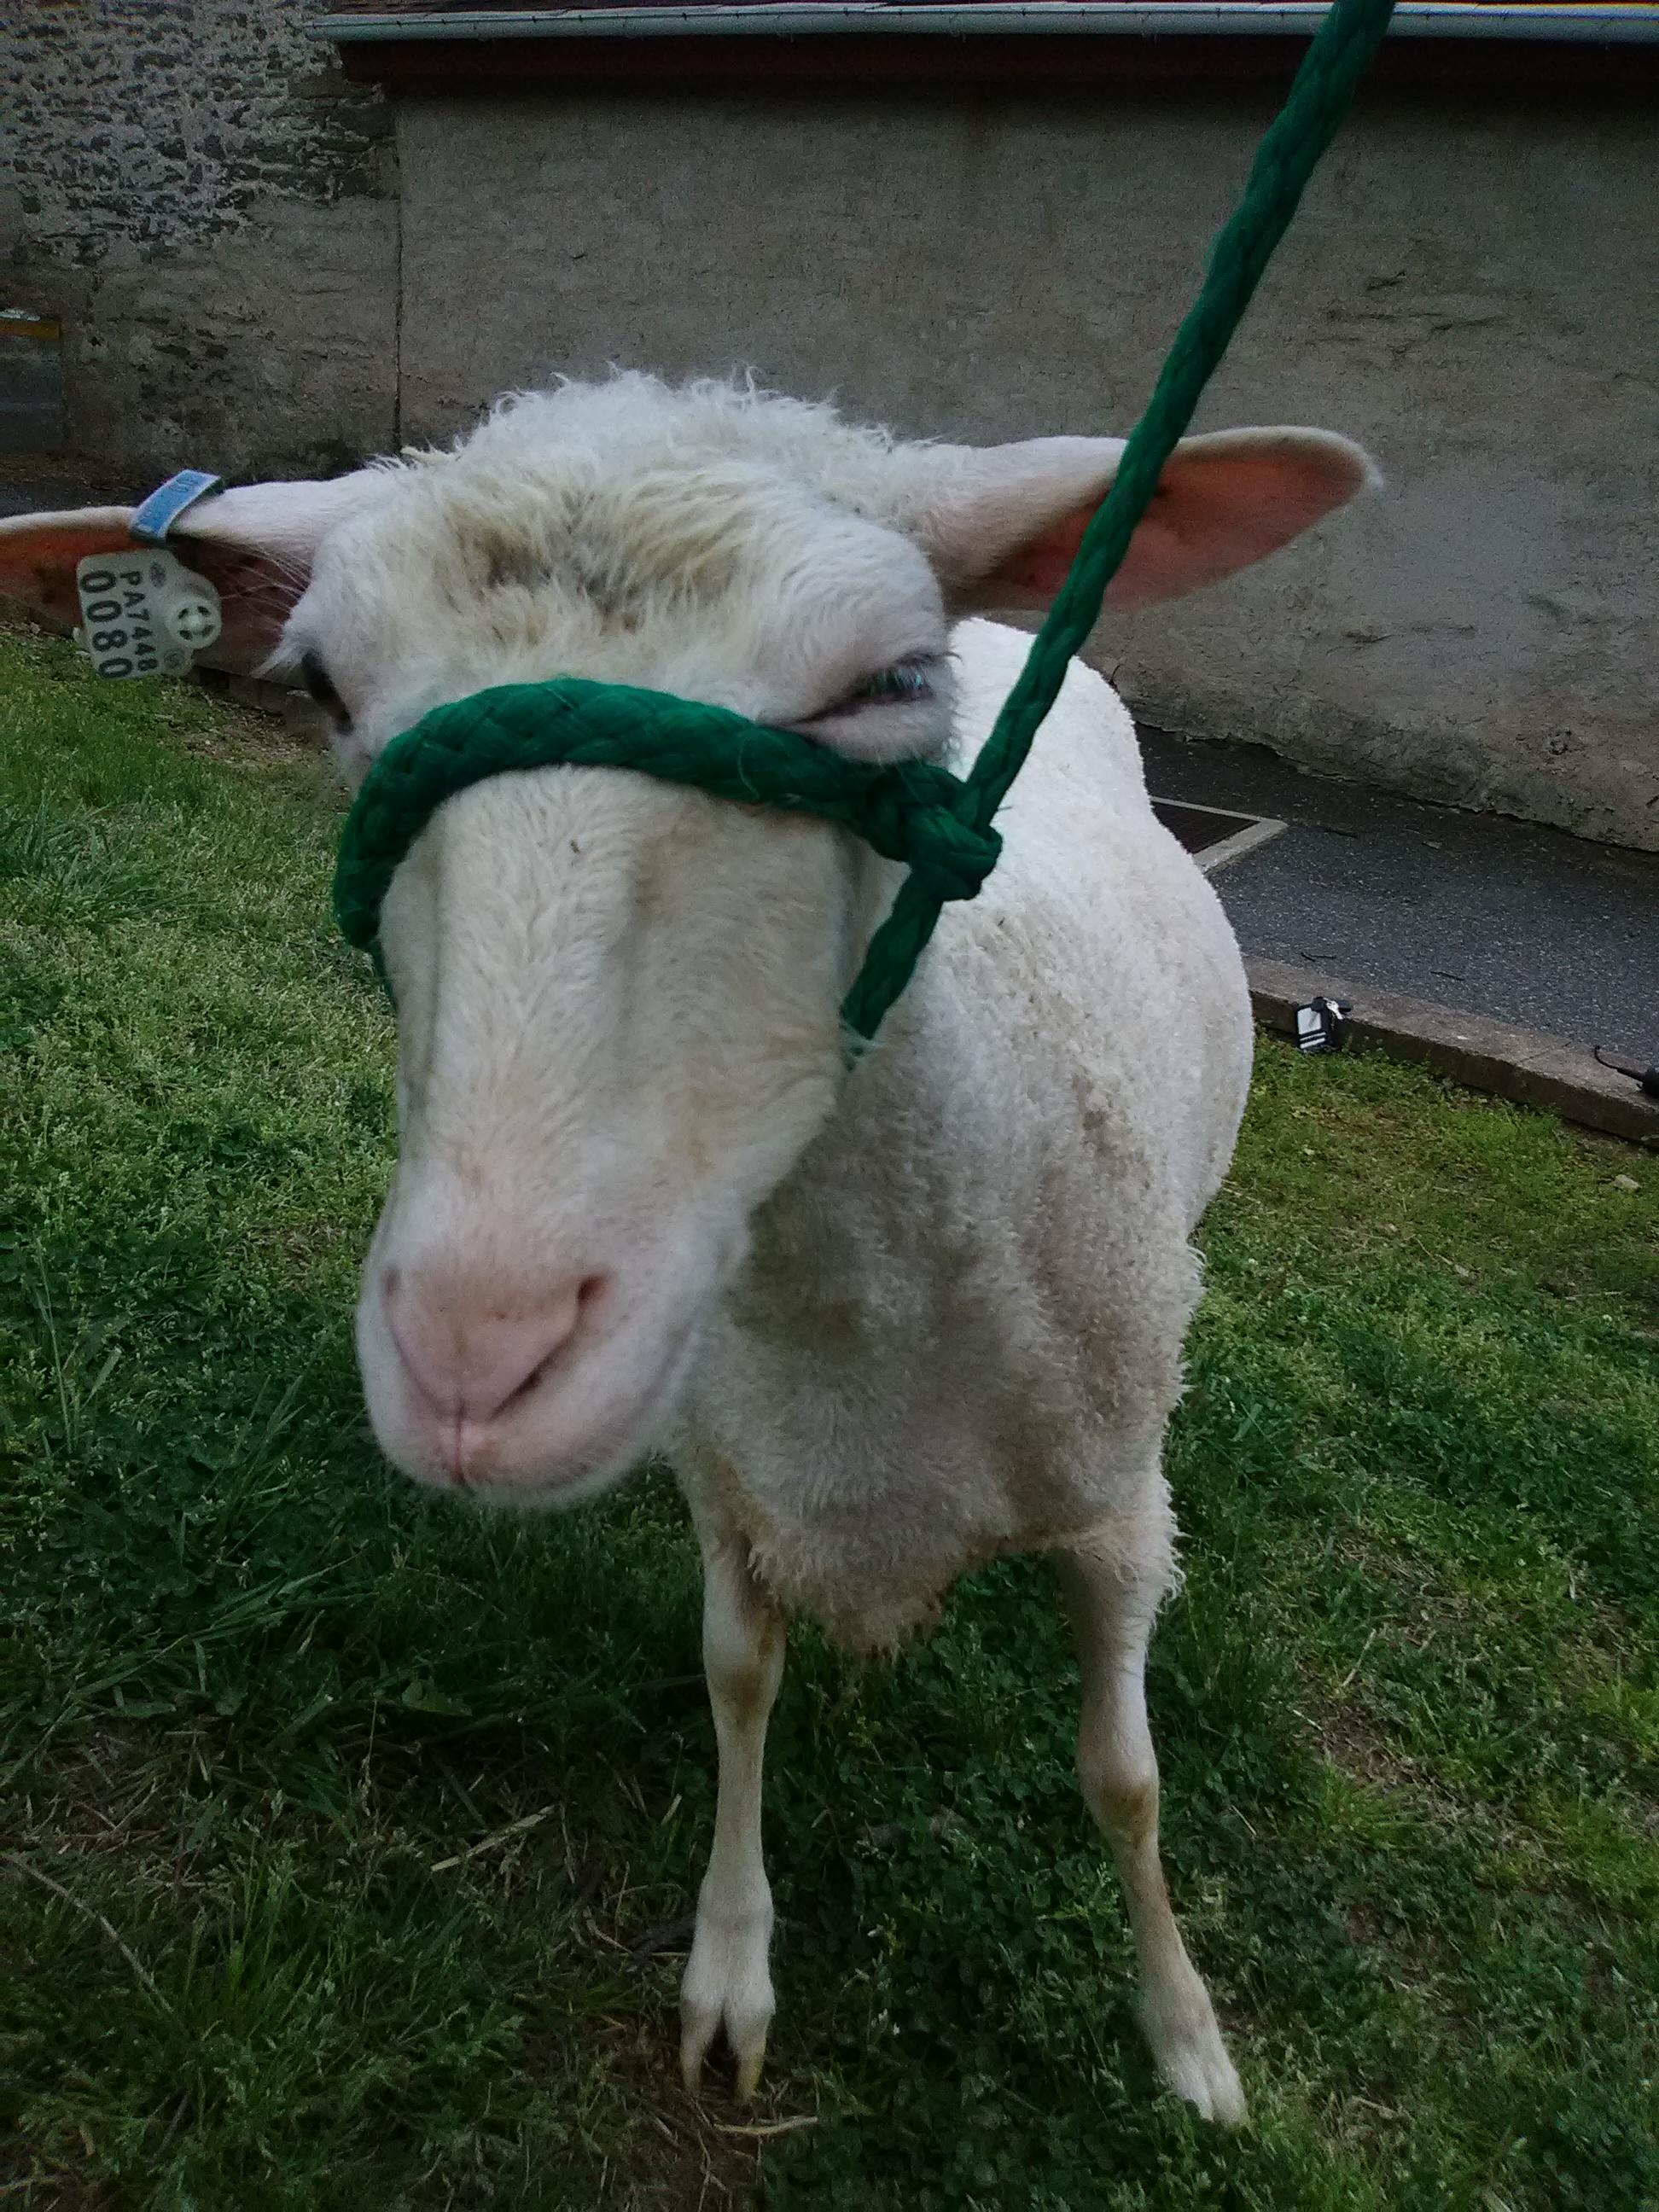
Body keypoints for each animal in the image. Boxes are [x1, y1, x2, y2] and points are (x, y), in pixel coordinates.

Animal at [0, 373, 1375, 2124]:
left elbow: (1122, 1776)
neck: (866, 1320)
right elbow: (736, 1679)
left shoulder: (1123, 1508)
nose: (476, 1357)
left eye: (885, 685)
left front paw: (1185, 2037)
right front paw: (730, 1972)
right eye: (319, 688)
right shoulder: (728, 1472)